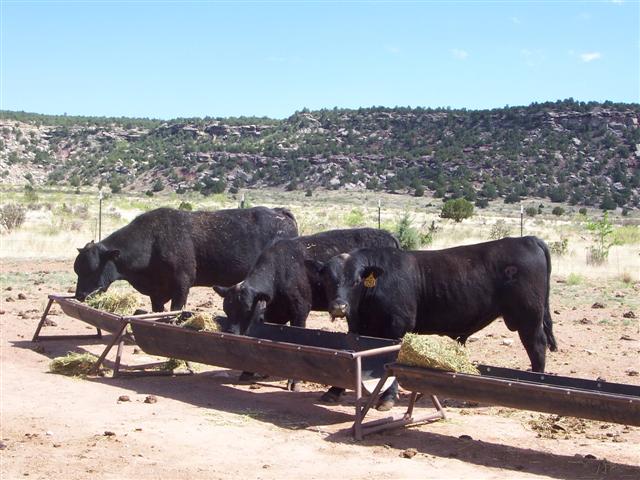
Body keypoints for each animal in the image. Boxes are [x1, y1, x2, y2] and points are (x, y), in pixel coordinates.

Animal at [73, 206, 298, 312]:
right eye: (77, 270)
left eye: (93, 268)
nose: (80, 295)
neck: (152, 242)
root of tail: (280, 212)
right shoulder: (156, 293)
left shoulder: (182, 284)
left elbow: (175, 310)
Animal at [212, 227, 399, 390]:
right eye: (227, 309)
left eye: (246, 309)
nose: (229, 332)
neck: (281, 271)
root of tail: (388, 235)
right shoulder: (274, 313)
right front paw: (252, 370)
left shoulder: (300, 310)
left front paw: (294, 380)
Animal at [319, 236, 558, 410]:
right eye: (328, 280)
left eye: (356, 281)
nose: (339, 307)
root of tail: (527, 239)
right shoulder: (357, 326)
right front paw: (334, 390)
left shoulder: (398, 327)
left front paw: (388, 398)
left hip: (528, 318)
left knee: (536, 346)